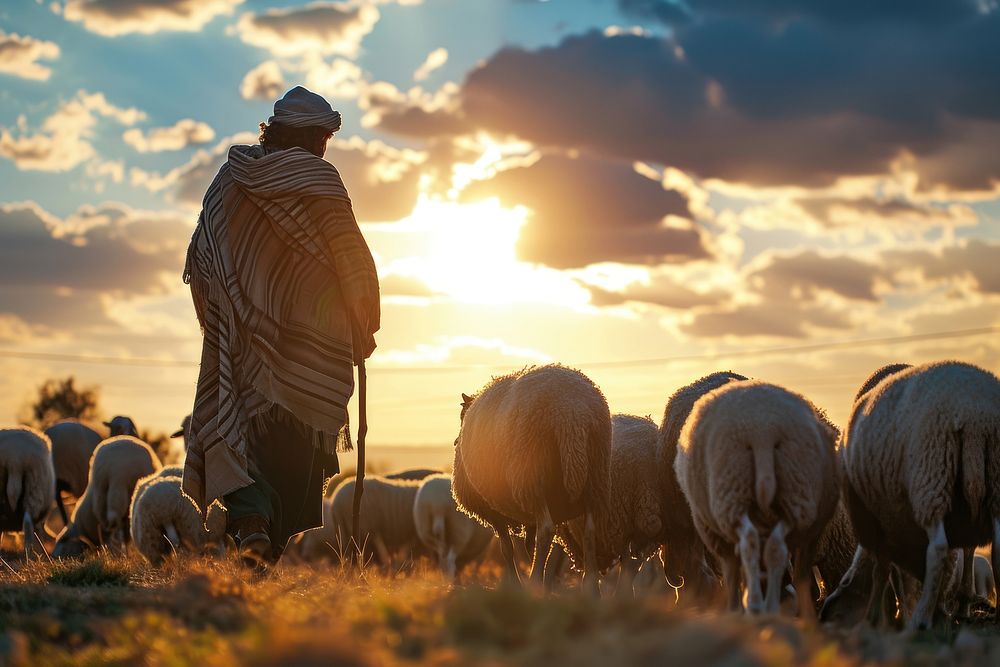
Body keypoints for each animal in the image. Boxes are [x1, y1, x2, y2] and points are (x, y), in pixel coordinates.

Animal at [452, 364, 612, 592]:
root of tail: (571, 411)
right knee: (589, 532)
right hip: (595, 480)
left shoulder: (494, 513)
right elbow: (528, 547)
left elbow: (507, 549)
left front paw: (517, 584)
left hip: (531, 478)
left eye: (461, 415)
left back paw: (535, 582)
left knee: (546, 530)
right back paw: (591, 587)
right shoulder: (523, 519)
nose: (456, 442)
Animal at [674, 381, 840, 618]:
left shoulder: (718, 537)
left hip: (732, 497)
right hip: (796, 498)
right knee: (776, 549)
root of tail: (763, 431)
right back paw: (769, 608)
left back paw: (754, 605)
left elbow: (732, 572)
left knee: (749, 543)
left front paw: (734, 607)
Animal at [832, 360, 1000, 631]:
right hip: (990, 483)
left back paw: (922, 619)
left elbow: (884, 570)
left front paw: (878, 617)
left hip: (931, 480)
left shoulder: (881, 521)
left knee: (939, 548)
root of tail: (975, 415)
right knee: (995, 551)